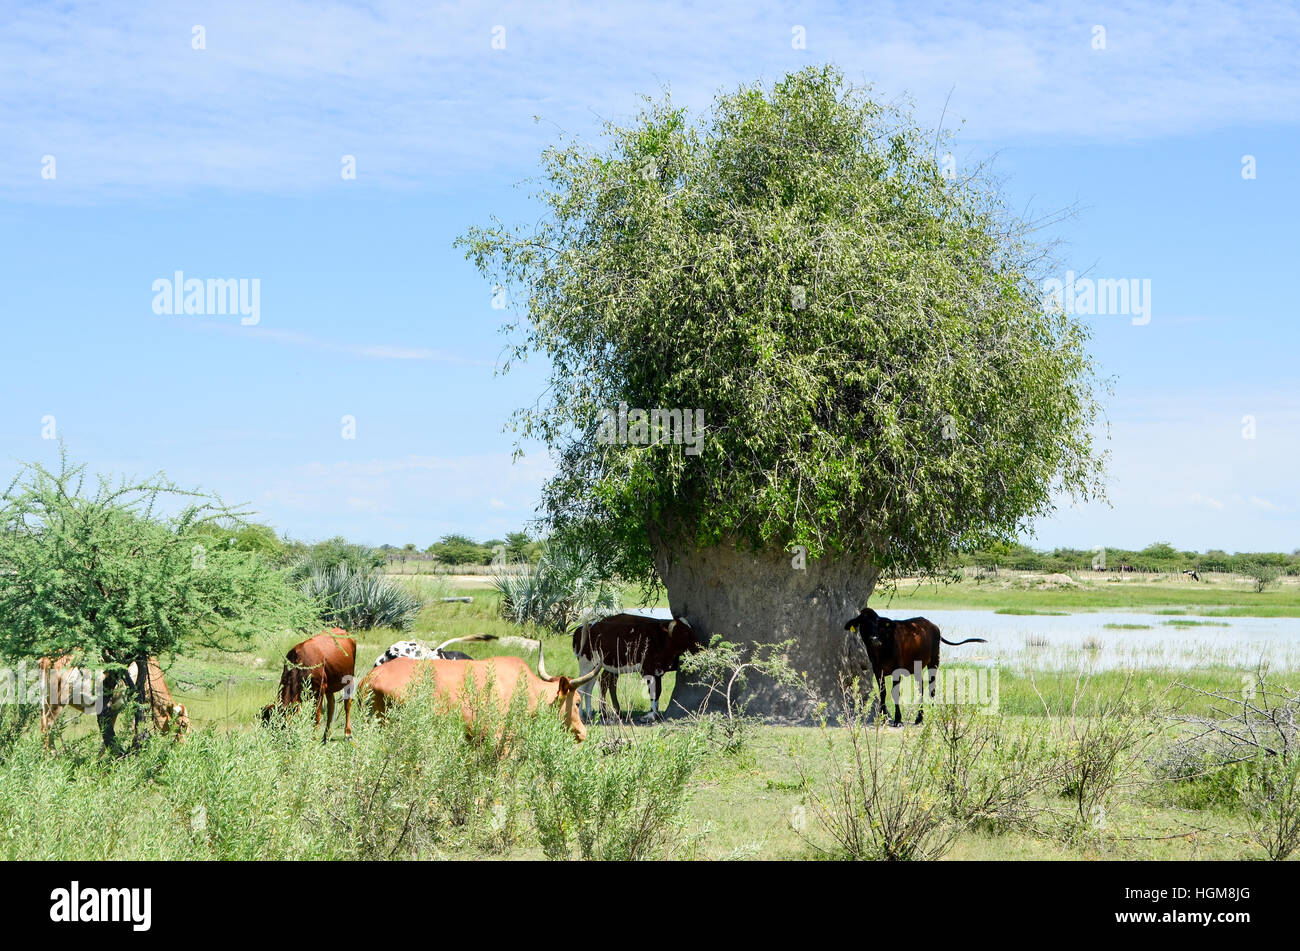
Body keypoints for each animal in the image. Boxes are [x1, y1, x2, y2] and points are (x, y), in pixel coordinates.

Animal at [39, 655, 189, 743]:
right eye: (183, 724)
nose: (184, 745)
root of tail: (46, 660)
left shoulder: (113, 709)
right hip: (58, 701)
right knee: (48, 725)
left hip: (46, 701)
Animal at [843, 607, 987, 726]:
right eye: (863, 623)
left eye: (878, 624)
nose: (874, 639)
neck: (881, 649)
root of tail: (932, 625)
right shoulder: (878, 671)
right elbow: (883, 693)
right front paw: (882, 717)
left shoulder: (896, 671)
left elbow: (895, 692)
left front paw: (898, 719)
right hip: (917, 667)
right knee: (921, 688)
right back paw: (919, 717)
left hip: (934, 661)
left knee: (932, 689)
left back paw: (929, 714)